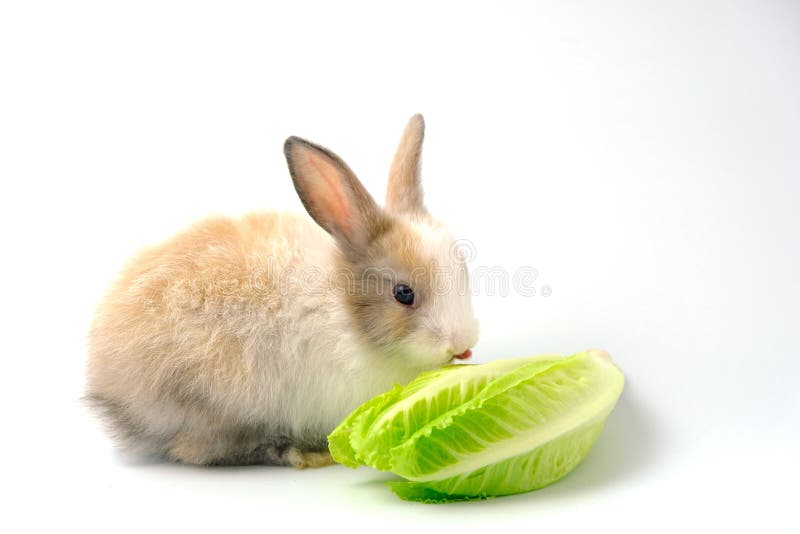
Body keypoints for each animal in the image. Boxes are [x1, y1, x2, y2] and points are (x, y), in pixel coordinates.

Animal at [86, 114, 480, 467]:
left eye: (463, 270)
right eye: (403, 294)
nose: (461, 347)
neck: (347, 310)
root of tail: (106, 380)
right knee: (198, 449)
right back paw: (302, 453)